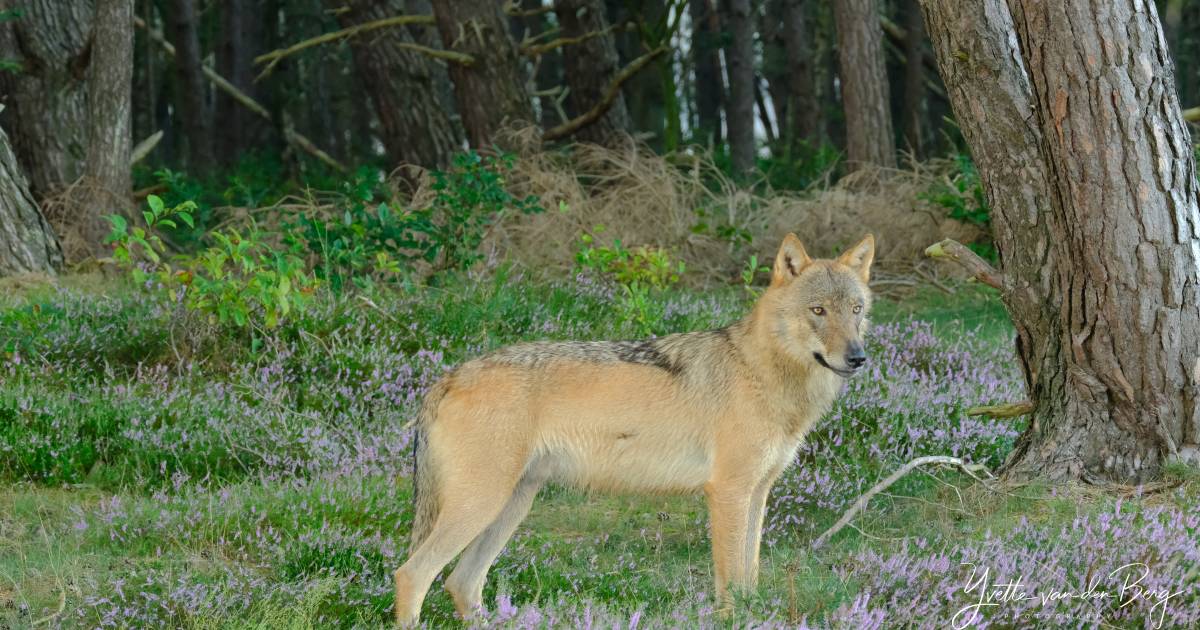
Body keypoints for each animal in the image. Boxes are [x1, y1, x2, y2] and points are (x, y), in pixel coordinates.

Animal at [393, 233, 875, 624]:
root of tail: (446, 378)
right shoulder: (728, 492)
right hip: (482, 505)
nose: (857, 357)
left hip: (509, 508)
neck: (761, 372)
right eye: (817, 311)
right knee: (412, 573)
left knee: (461, 583)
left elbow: (750, 575)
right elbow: (731, 582)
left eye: (855, 310)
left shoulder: (757, 493)